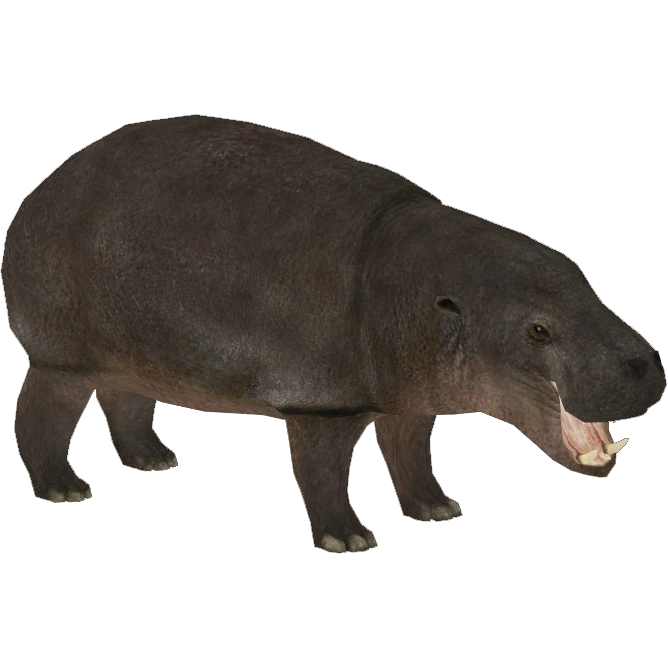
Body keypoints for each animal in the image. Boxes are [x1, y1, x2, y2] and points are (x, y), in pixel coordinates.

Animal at [2, 112, 665, 554]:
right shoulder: (322, 400)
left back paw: (156, 461)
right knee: (40, 408)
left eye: (589, 278)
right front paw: (350, 541)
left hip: (136, 353)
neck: (429, 294)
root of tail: (41, 184)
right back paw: (65, 490)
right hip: (63, 354)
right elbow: (325, 472)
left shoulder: (409, 395)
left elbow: (410, 451)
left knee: (126, 397)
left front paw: (438, 508)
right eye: (538, 328)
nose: (644, 360)